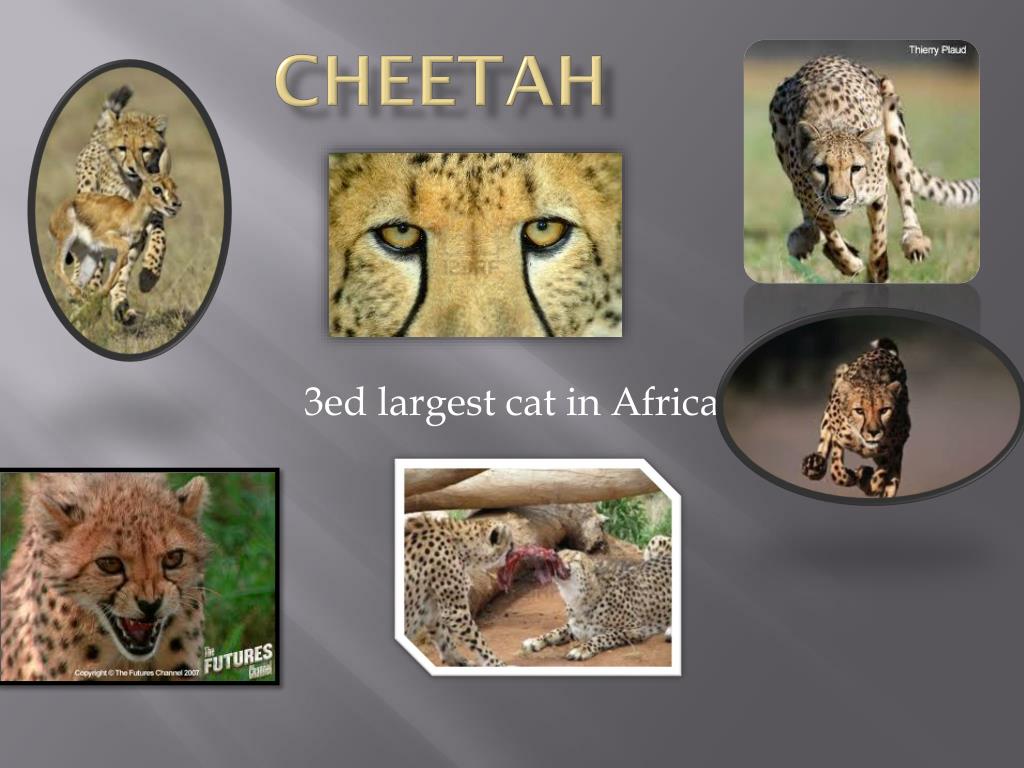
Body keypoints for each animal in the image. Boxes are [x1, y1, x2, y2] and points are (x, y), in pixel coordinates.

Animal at [71, 86, 171, 325]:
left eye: (145, 149)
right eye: (122, 148)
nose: (134, 169)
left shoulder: (148, 221)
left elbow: (158, 242)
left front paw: (147, 278)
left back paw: (120, 306)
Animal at [404, 514, 514, 667]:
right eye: (510, 543)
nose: (515, 548)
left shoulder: (431, 610)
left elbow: (445, 640)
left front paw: (459, 662)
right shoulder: (455, 612)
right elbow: (478, 641)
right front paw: (496, 663)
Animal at [522, 545, 672, 661]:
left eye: (574, 558)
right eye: (560, 554)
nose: (553, 556)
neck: (578, 597)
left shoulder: (635, 629)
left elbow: (602, 636)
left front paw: (582, 649)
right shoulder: (577, 627)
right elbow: (555, 631)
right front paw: (535, 640)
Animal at [769, 55, 979, 283]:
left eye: (856, 168)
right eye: (821, 168)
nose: (839, 198)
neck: (836, 125)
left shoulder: (878, 193)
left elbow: (879, 237)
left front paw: (878, 271)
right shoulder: (811, 196)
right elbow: (830, 231)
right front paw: (848, 263)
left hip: (894, 126)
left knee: (905, 190)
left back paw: (914, 240)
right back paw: (808, 237)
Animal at [801, 338, 911, 498]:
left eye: (884, 410)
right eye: (859, 411)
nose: (873, 432)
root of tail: (882, 351)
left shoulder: (896, 445)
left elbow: (880, 477)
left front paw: (866, 477)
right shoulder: (838, 435)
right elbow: (837, 471)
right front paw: (854, 475)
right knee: (824, 440)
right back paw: (815, 464)